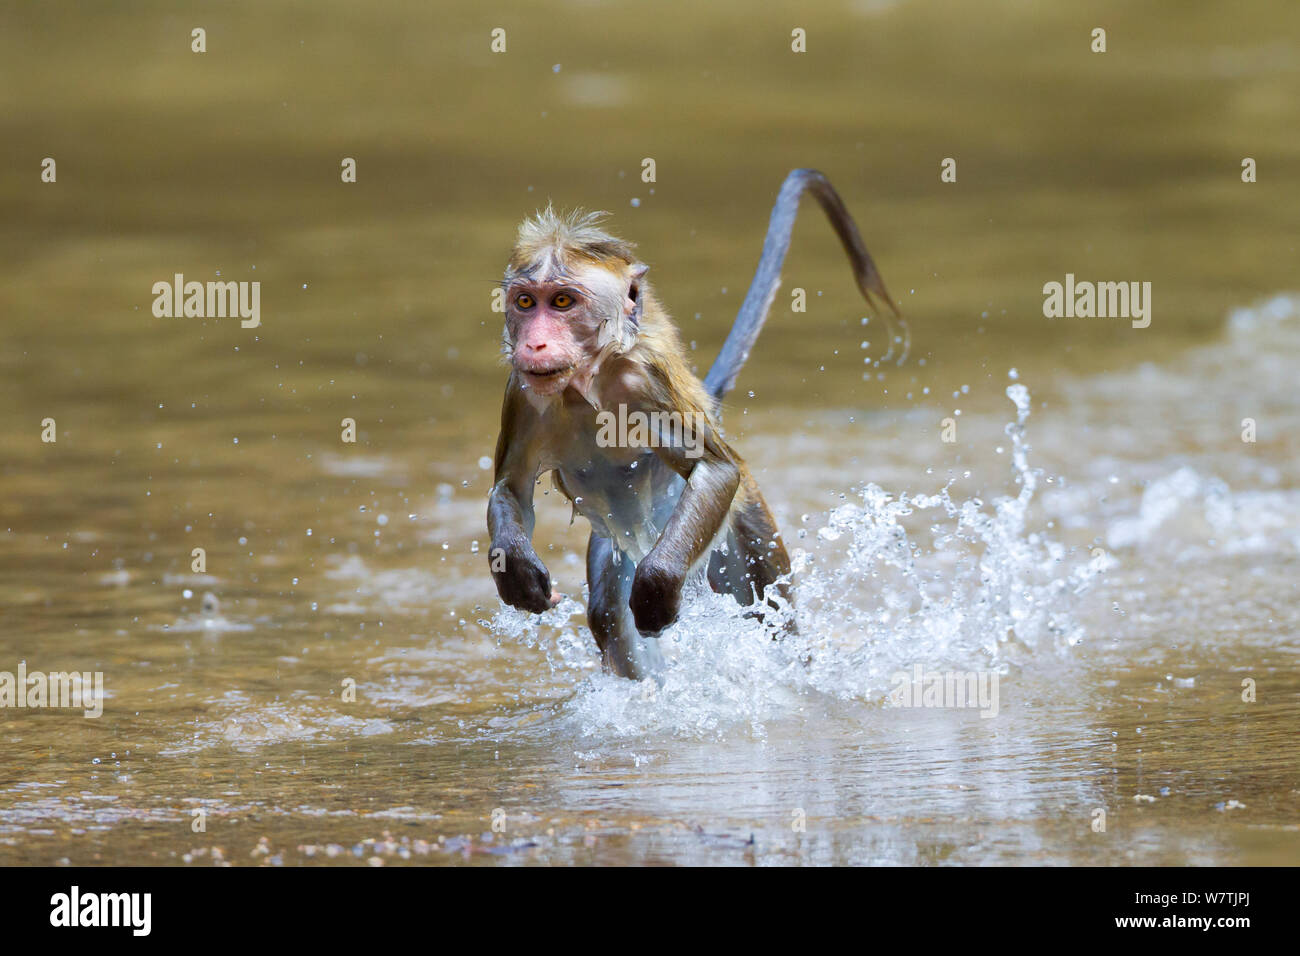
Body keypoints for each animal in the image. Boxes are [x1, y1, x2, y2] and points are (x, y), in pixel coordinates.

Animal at [487, 169, 895, 680]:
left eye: (561, 301)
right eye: (525, 302)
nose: (534, 344)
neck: (584, 384)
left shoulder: (647, 382)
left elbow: (714, 470)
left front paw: (657, 587)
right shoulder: (520, 392)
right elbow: (511, 485)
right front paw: (516, 569)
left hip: (743, 529)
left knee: (772, 613)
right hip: (616, 545)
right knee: (607, 612)